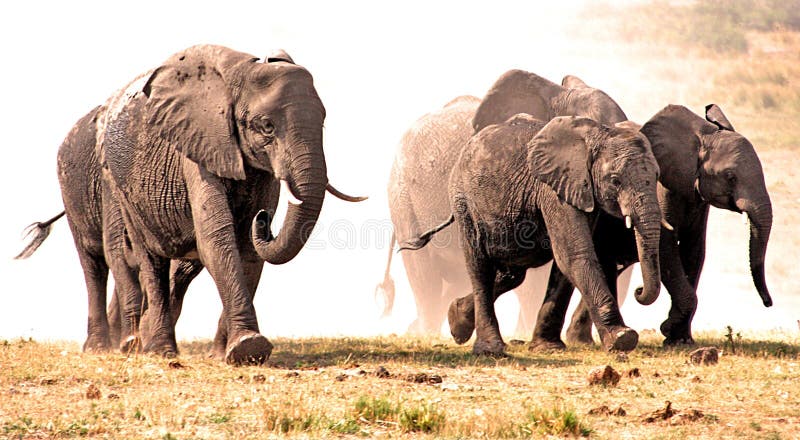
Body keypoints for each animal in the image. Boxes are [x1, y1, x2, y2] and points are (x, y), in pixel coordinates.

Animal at [402, 114, 663, 355]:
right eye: (615, 180)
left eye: (657, 176)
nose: (639, 291)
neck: (598, 133)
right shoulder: (553, 188)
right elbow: (573, 255)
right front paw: (622, 338)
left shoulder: (579, 191)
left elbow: (564, 262)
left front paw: (548, 347)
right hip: (464, 202)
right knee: (481, 267)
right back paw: (490, 349)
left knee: (512, 273)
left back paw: (456, 320)